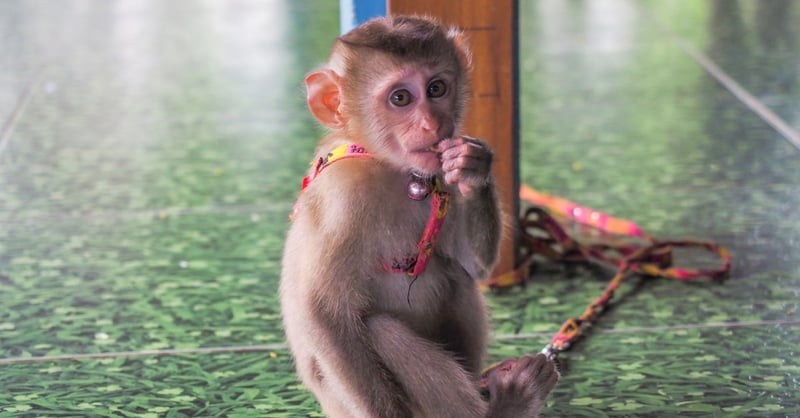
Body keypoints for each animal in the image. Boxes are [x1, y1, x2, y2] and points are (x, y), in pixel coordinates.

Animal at [280, 15, 558, 418]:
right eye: (401, 98)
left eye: (437, 88)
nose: (432, 124)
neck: (391, 167)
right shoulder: (342, 197)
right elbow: (325, 313)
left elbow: (475, 267)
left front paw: (473, 167)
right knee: (382, 331)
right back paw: (510, 404)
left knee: (456, 277)